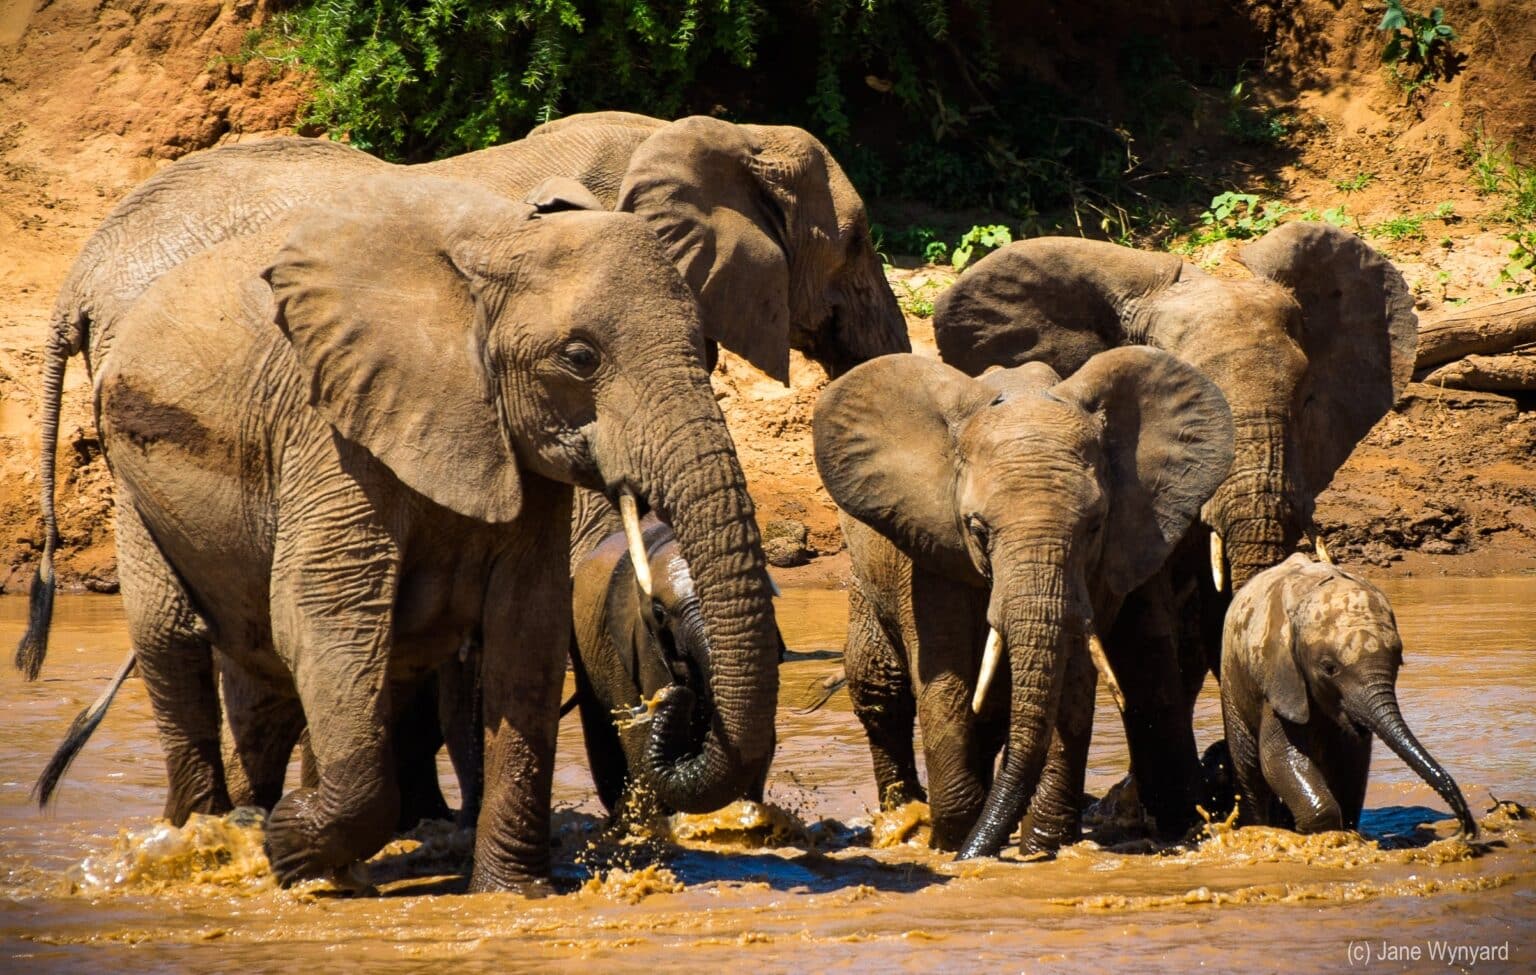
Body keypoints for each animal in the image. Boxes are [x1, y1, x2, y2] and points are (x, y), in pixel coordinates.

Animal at [25, 169, 781, 892]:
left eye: (708, 350)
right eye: (580, 357)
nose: (670, 694)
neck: (498, 248)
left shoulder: (516, 446)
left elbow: (526, 630)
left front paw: (512, 893)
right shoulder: (330, 430)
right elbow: (326, 613)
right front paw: (292, 849)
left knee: (265, 684)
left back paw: (239, 826)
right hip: (133, 482)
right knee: (175, 640)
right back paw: (203, 842)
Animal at [812, 348, 1234, 856]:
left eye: (1094, 525)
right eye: (976, 529)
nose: (971, 852)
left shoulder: (1098, 563)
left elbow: (1072, 677)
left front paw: (1041, 845)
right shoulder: (927, 555)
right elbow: (946, 678)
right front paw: (953, 843)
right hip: (865, 580)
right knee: (882, 690)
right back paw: (901, 816)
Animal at [1220, 553, 1477, 836]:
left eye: (1399, 661)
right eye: (1329, 668)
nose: (1465, 825)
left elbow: (1353, 763)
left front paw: (1348, 832)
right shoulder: (1279, 676)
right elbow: (1279, 757)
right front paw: (1318, 831)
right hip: (1232, 677)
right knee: (1249, 767)